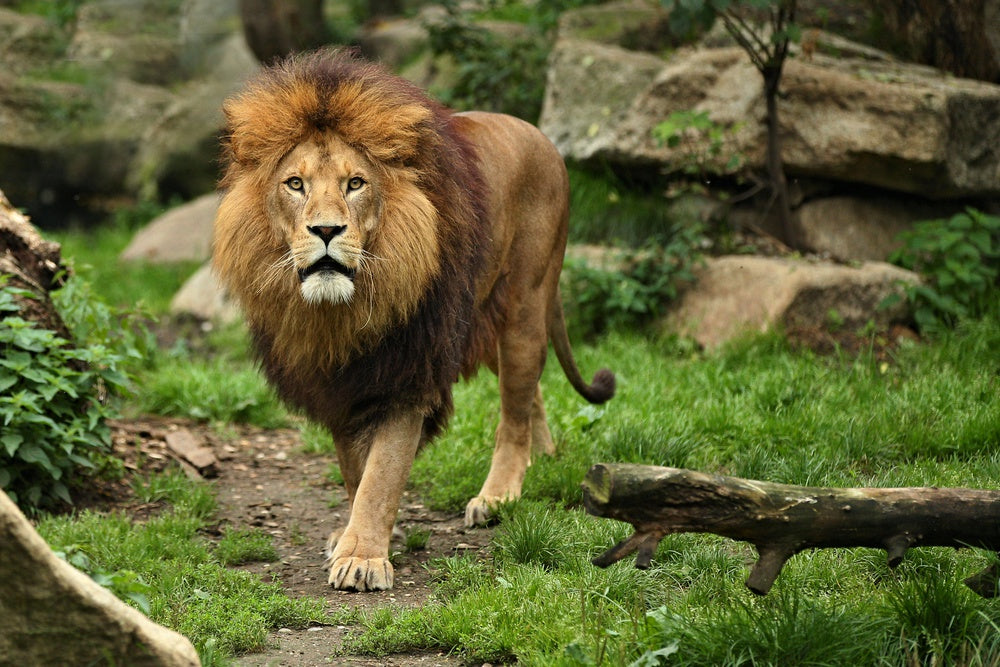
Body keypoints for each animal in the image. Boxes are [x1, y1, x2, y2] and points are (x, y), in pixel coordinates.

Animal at [213, 50, 614, 591]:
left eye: (355, 183)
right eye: (295, 184)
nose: (325, 230)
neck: (345, 312)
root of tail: (541, 137)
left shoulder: (409, 372)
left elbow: (381, 473)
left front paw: (362, 558)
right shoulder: (338, 381)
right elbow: (354, 469)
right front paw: (354, 535)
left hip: (524, 305)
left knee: (513, 409)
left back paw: (499, 495)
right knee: (530, 394)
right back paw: (544, 456)